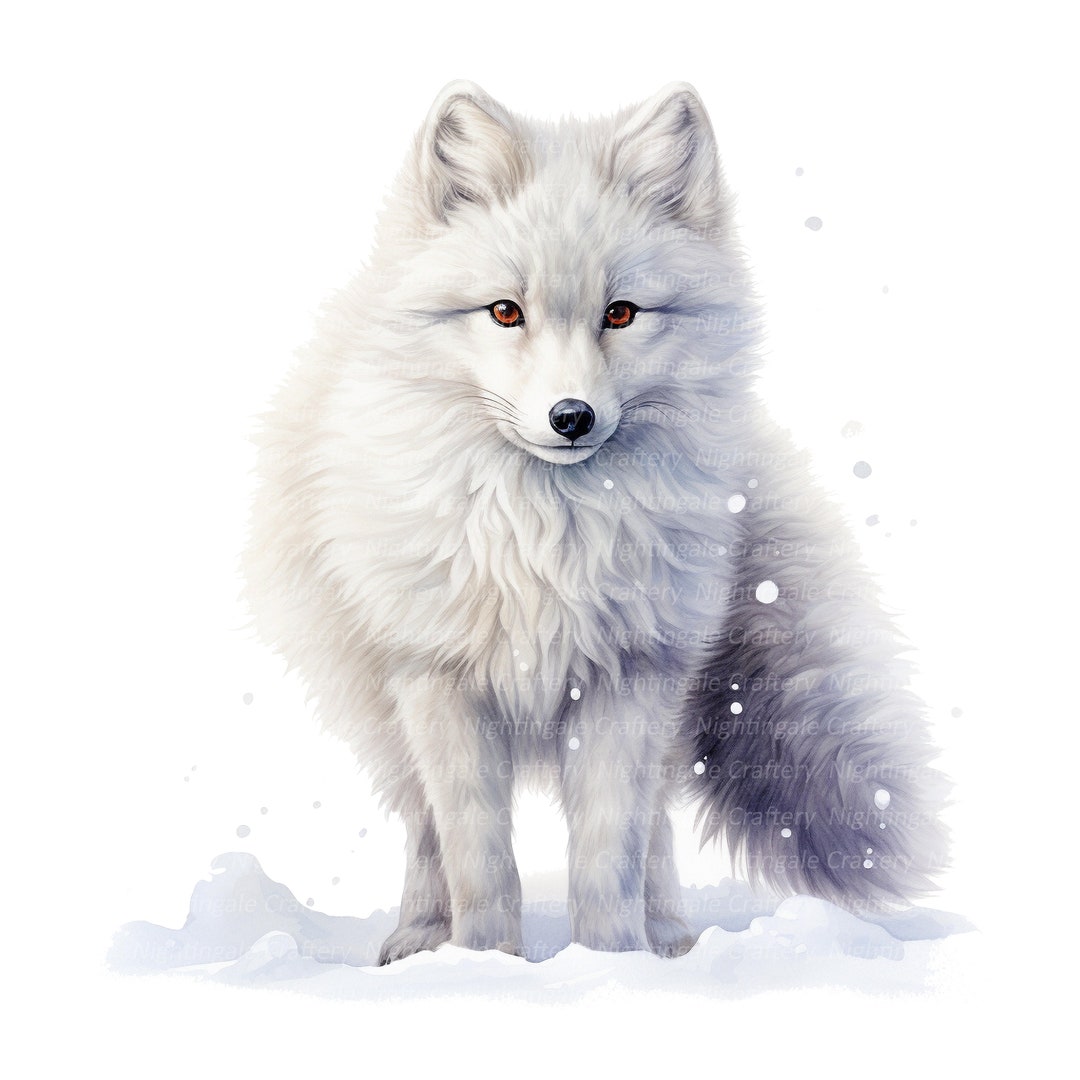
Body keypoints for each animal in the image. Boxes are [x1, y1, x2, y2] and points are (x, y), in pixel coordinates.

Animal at [244, 81, 949, 965]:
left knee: (655, 831)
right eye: (504, 312)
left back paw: (672, 938)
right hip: (382, 707)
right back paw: (419, 938)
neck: (544, 544)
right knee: (423, 827)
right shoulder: (440, 681)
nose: (571, 417)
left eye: (621, 314)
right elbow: (478, 854)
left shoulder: (629, 679)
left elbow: (609, 852)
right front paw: (486, 964)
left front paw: (612, 963)